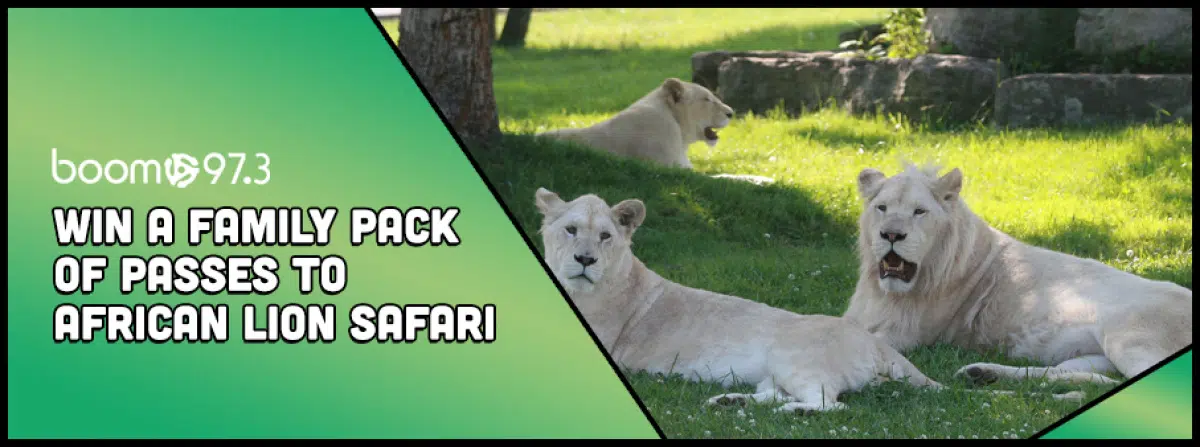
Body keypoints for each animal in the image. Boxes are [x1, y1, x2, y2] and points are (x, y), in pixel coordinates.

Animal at [533, 187, 1082, 412]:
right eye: (571, 230)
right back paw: (729, 401)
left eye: (605, 236)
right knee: (779, 395)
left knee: (827, 406)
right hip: (774, 372)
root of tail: (878, 345)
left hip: (793, 357)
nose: (584, 259)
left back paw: (783, 416)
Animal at [842, 164, 1193, 387]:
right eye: (882, 208)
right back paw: (982, 373)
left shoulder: (907, 335)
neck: (885, 290)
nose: (891, 235)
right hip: (1092, 356)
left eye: (919, 212)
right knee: (1086, 377)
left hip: (1127, 338)